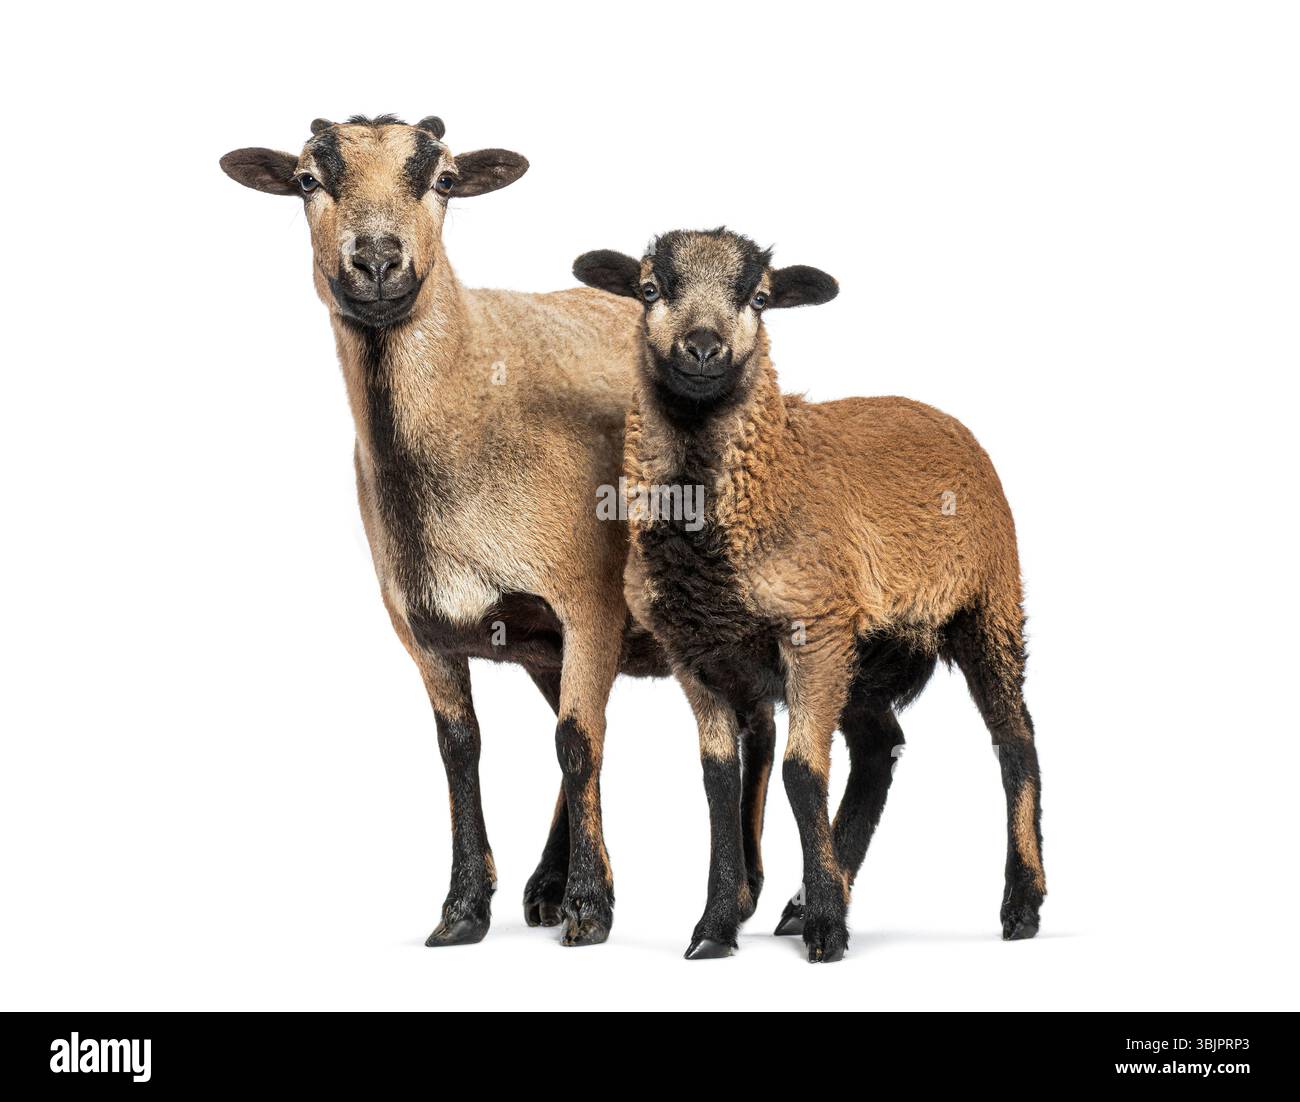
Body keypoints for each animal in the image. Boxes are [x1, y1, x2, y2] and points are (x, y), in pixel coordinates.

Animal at [221, 117, 777, 950]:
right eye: (306, 181)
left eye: (443, 180)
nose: (377, 262)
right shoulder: (422, 627)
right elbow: (464, 749)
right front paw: (463, 910)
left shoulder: (588, 602)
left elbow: (578, 743)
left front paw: (588, 910)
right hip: (549, 646)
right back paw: (550, 883)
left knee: (745, 724)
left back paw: (738, 894)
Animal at [573, 228, 1045, 962]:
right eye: (650, 289)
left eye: (759, 298)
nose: (703, 348)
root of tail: (941, 415)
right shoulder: (694, 656)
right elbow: (719, 781)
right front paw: (715, 928)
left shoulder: (815, 633)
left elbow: (800, 772)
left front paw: (826, 929)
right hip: (869, 656)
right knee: (880, 752)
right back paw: (811, 898)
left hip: (988, 606)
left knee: (1015, 741)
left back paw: (1020, 904)